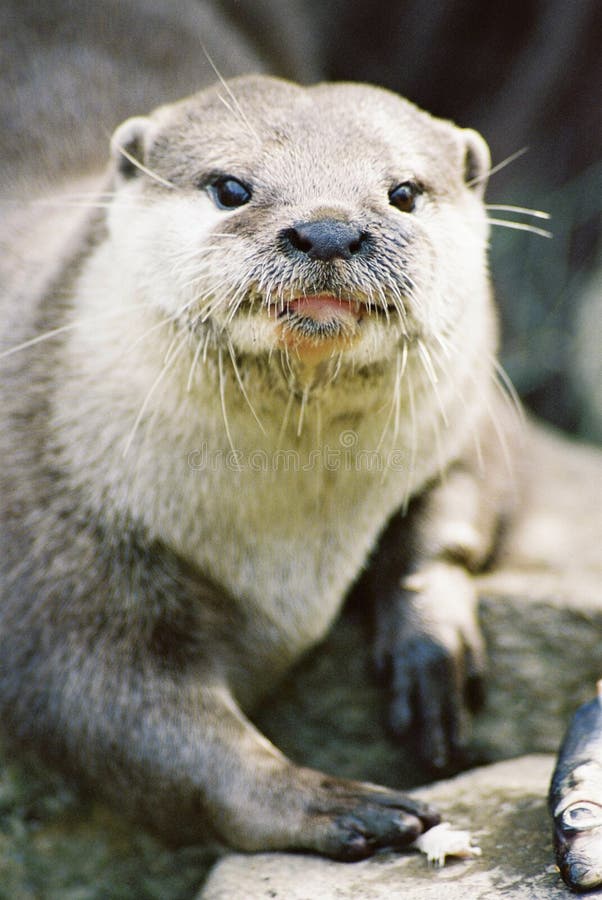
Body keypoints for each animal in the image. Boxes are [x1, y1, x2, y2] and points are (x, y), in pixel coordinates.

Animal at [0, 74, 517, 858]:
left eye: (403, 192)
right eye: (231, 187)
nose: (328, 231)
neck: (293, 539)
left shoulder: (479, 406)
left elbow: (461, 500)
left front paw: (431, 647)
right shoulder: (51, 542)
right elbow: (115, 711)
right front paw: (324, 798)